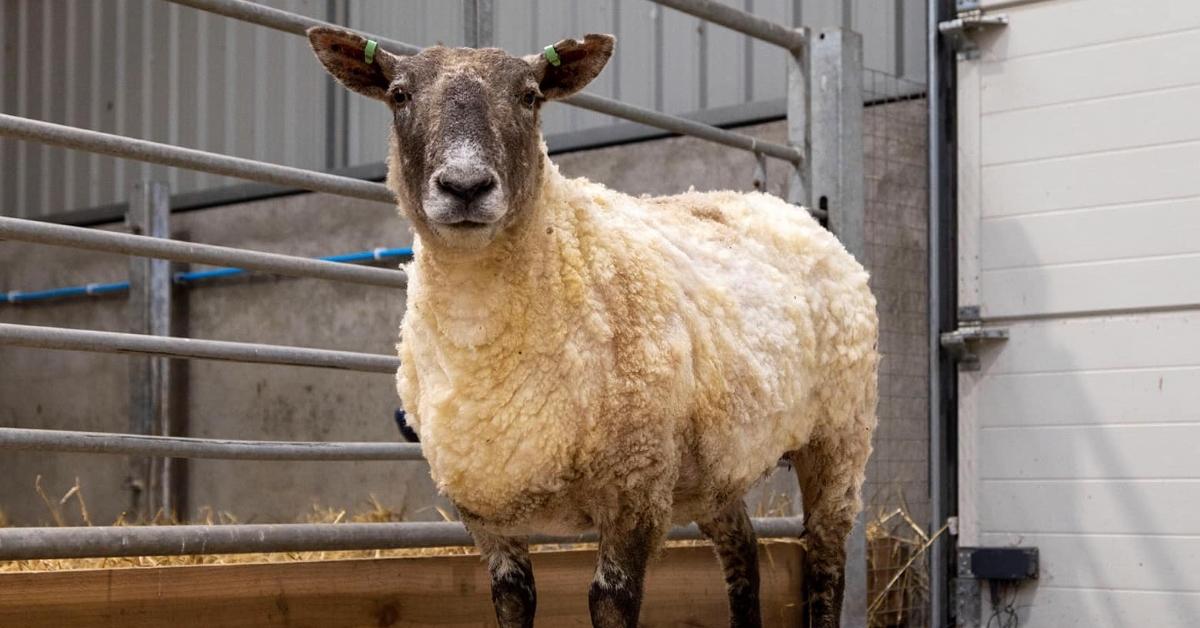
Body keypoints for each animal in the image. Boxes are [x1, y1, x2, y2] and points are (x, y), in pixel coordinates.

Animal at [308, 27, 877, 628]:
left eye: (530, 96)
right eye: (399, 95)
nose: (465, 187)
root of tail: (788, 210)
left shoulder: (634, 488)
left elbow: (610, 602)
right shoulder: (487, 511)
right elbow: (512, 601)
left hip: (840, 435)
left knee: (826, 565)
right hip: (714, 465)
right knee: (742, 549)